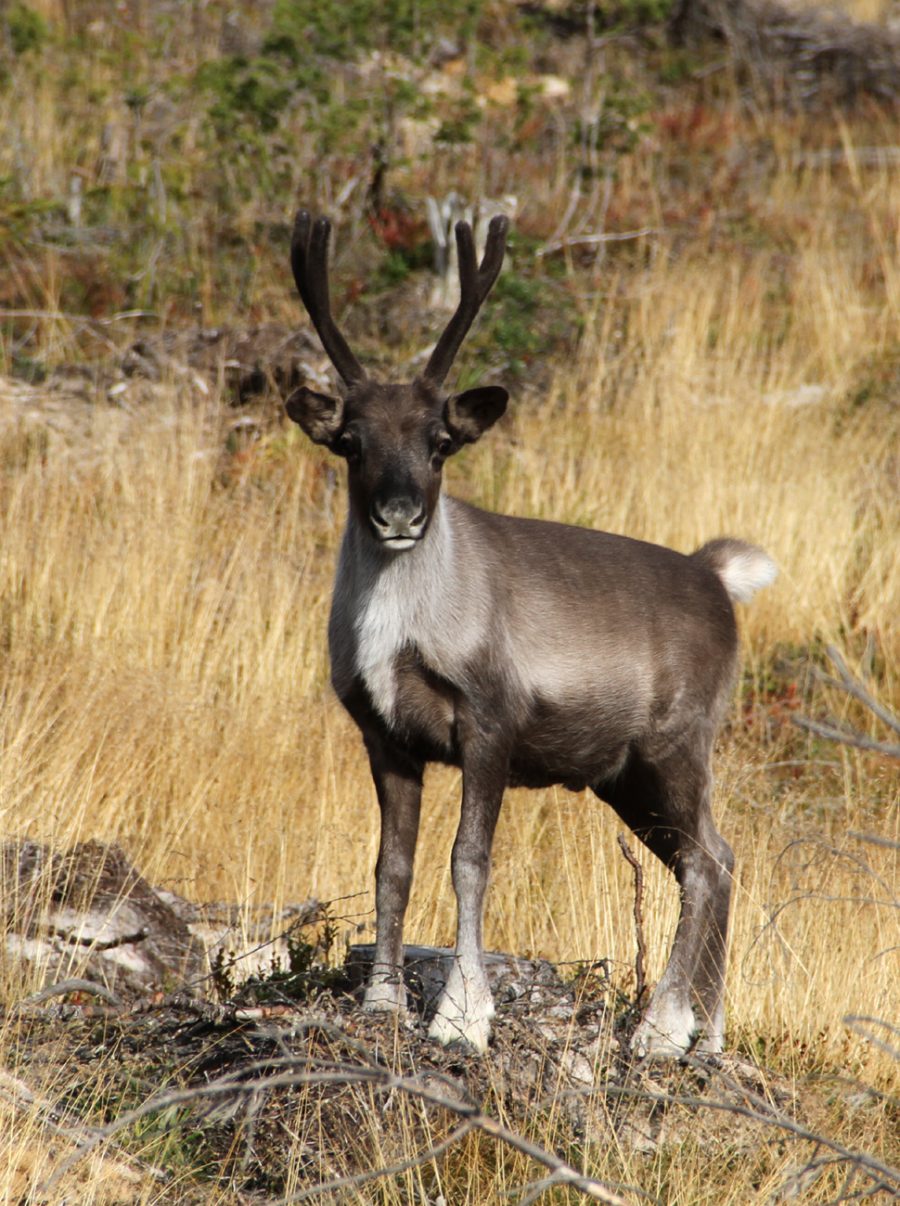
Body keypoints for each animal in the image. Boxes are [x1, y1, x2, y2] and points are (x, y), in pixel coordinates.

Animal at [284, 208, 777, 1058]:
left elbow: (469, 860)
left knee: (706, 864)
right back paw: (706, 1034)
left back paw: (657, 1030)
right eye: (351, 442)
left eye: (440, 442)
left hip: (677, 740)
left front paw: (462, 1013)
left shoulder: (490, 719)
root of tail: (717, 576)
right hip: (625, 776)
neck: (401, 632)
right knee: (718, 853)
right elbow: (392, 866)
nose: (399, 515)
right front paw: (381, 1001)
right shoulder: (385, 735)